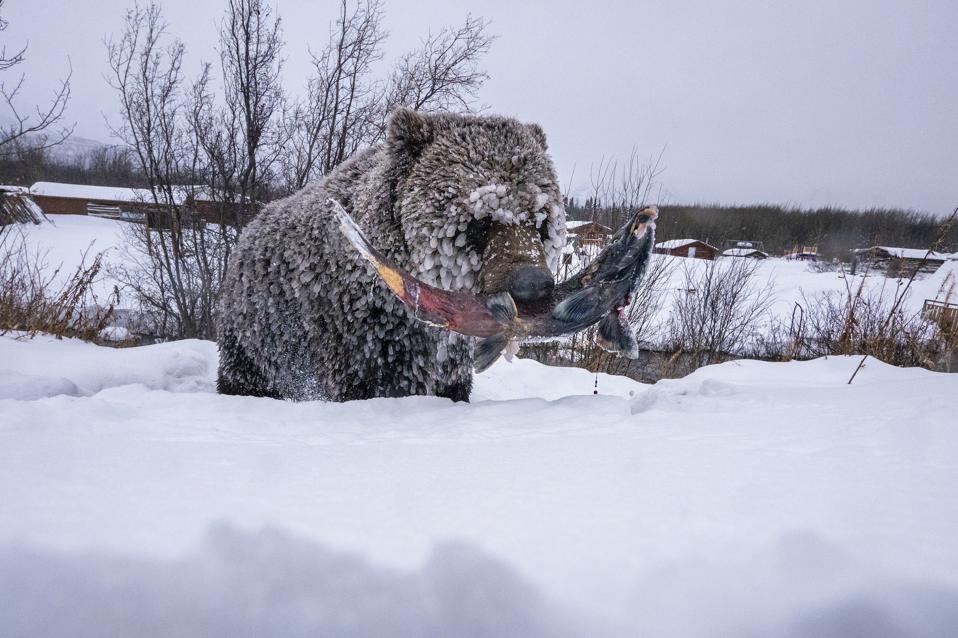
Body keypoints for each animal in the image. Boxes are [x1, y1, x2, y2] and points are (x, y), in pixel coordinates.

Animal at [215, 108, 567, 402]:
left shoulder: (448, 354)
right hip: (257, 334)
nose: (533, 285)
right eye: (481, 220)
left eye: (540, 220)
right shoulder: (368, 335)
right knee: (246, 373)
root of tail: (249, 228)